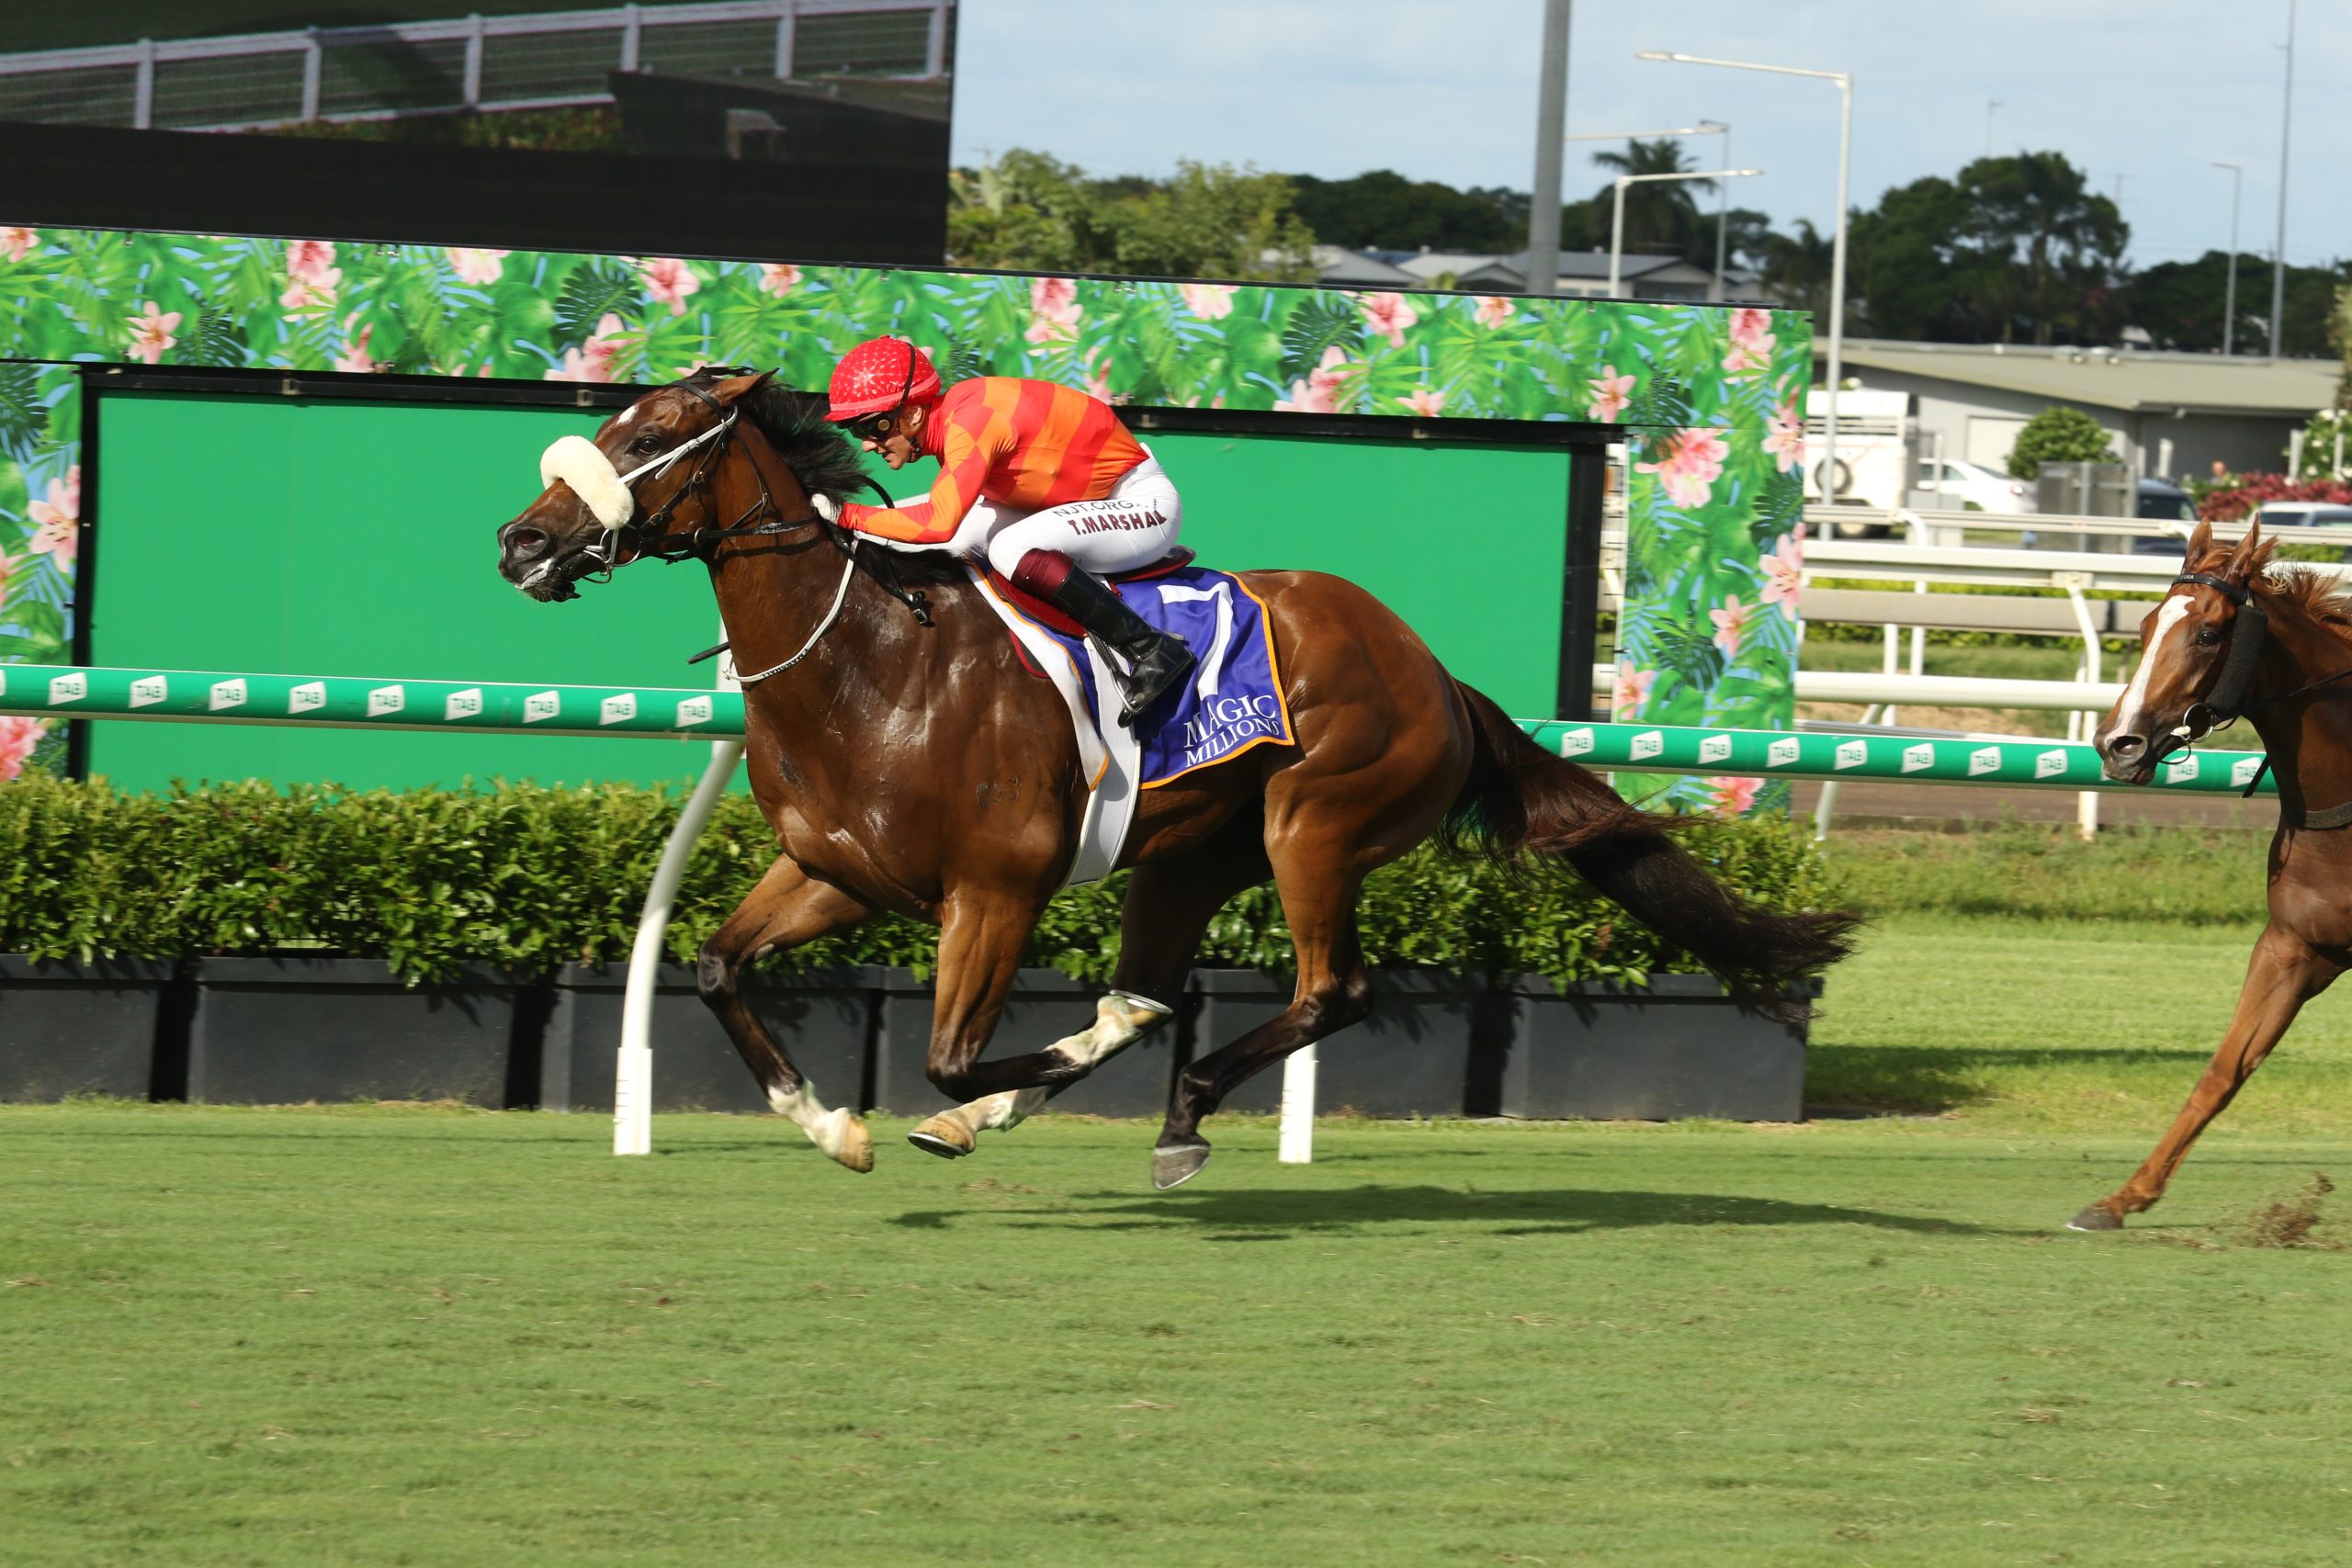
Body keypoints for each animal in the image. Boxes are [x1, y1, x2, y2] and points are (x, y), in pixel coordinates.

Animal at [495, 369, 1857, 1188]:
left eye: (648, 437)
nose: (521, 540)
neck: (872, 662)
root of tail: (1433, 667)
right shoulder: (836, 871)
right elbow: (719, 966)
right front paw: (834, 1124)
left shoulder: (995, 889)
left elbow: (954, 1057)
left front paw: (980, 1101)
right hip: (1190, 857)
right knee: (1157, 989)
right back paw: (1149, 1092)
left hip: (1319, 825)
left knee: (1329, 989)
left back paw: (1180, 1103)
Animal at [2084, 517, 2352, 1229]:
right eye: (2146, 625)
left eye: (2207, 633)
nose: (2118, 743)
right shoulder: (2296, 946)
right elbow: (2224, 1069)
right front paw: (2123, 1196)